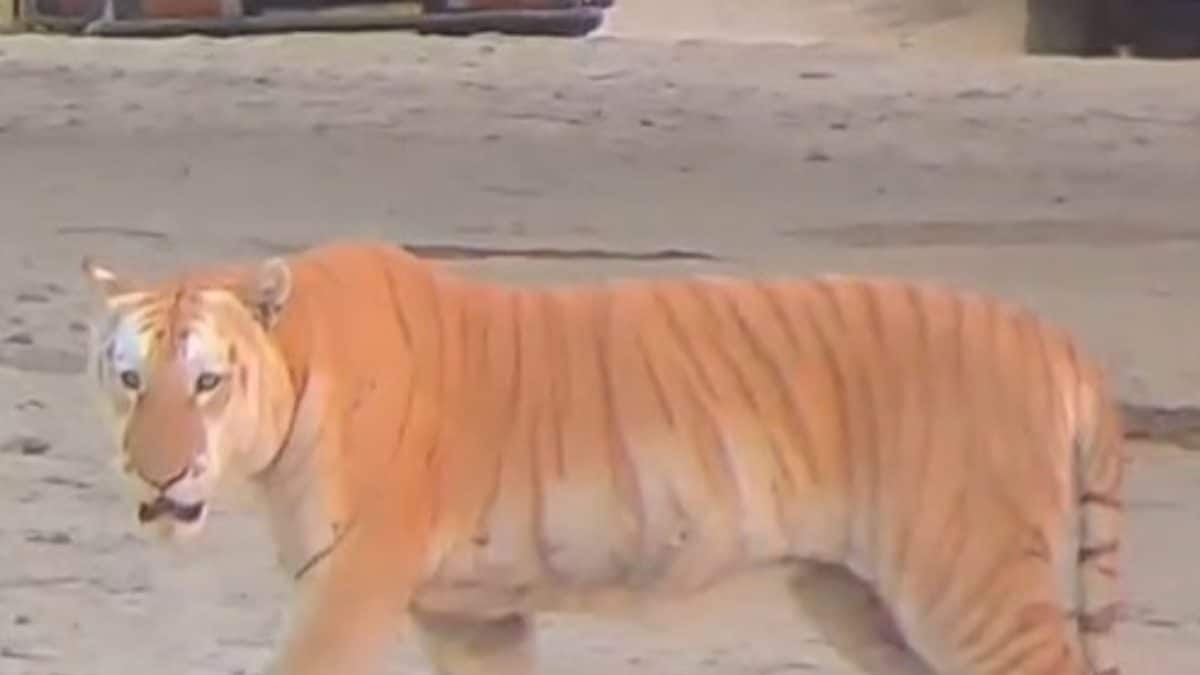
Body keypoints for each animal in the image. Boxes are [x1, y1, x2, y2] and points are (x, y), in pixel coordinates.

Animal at [79, 238, 1125, 675]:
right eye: (130, 380)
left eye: (207, 383)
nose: (155, 474)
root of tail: (1058, 338)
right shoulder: (473, 616)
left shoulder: (347, 591)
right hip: (858, 600)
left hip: (971, 589)